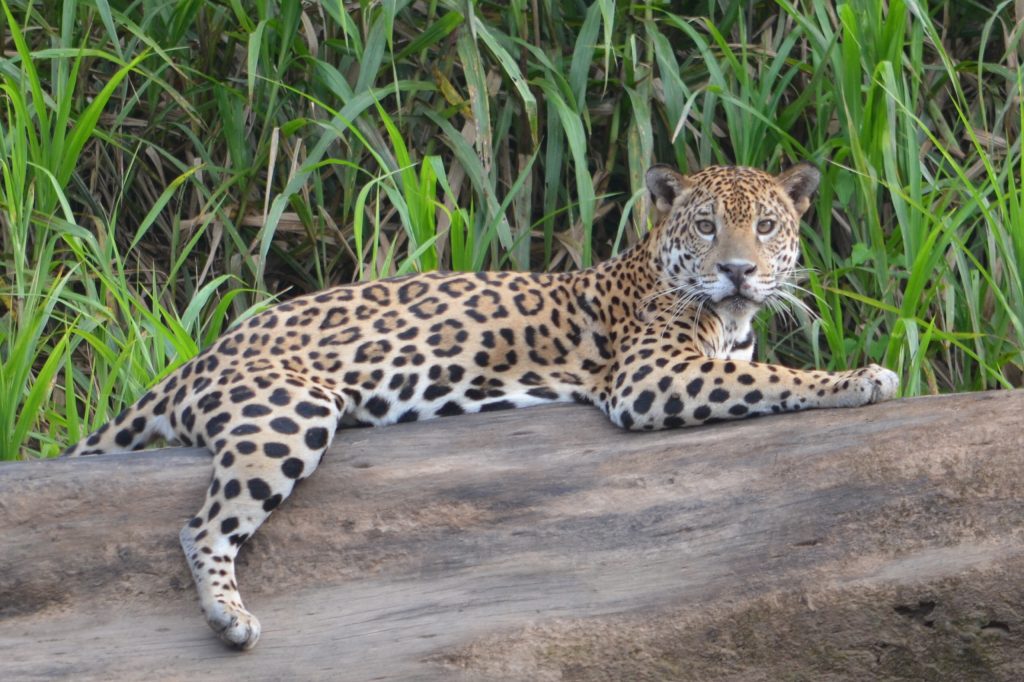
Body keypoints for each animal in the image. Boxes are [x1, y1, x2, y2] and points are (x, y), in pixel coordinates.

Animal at [62, 161, 899, 650]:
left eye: (766, 225)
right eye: (705, 226)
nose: (737, 271)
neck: (725, 317)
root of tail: (205, 353)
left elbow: (763, 370)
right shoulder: (651, 378)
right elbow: (780, 379)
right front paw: (862, 378)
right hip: (288, 410)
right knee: (201, 525)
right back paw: (229, 619)